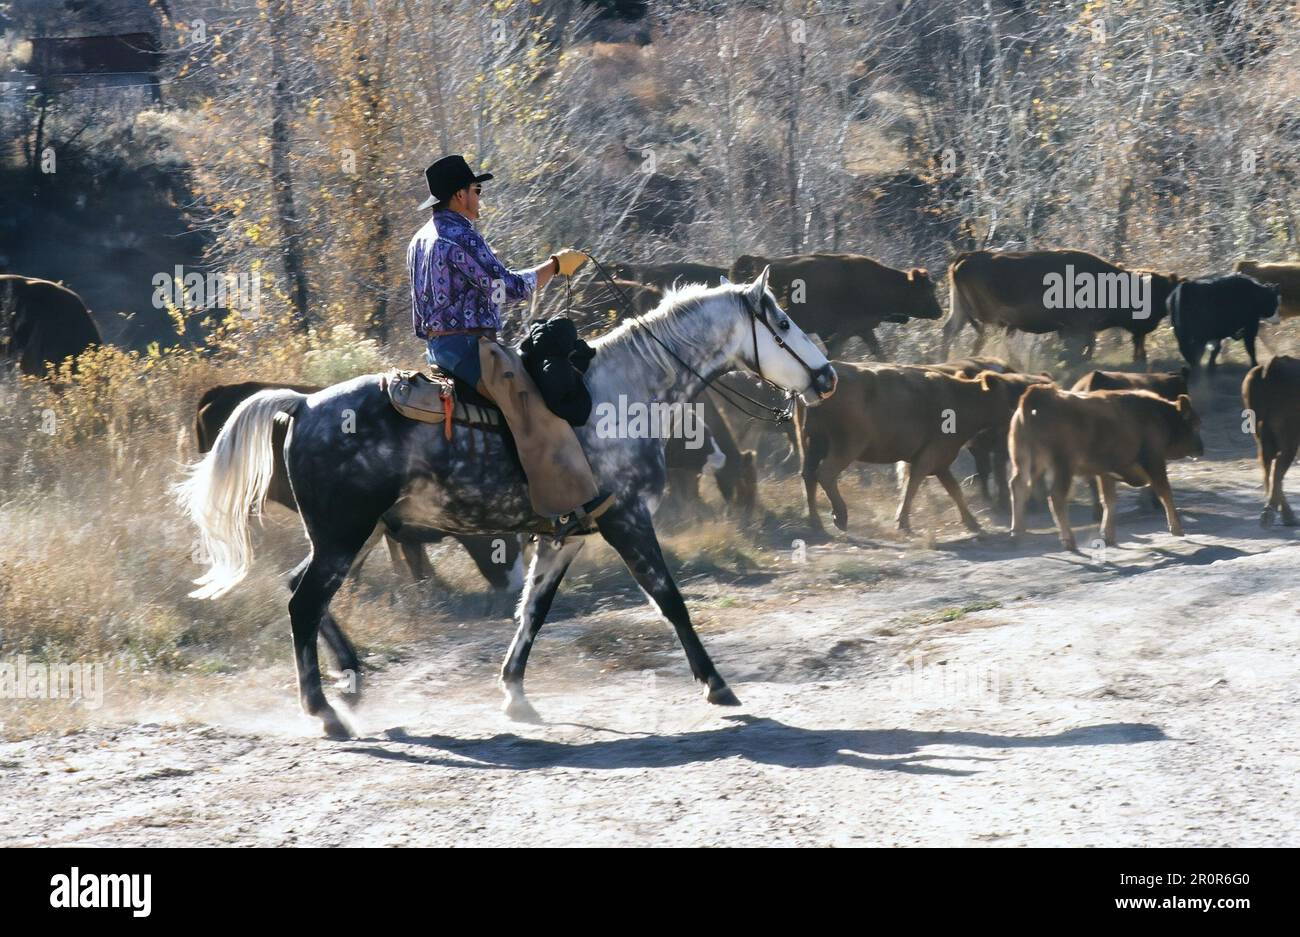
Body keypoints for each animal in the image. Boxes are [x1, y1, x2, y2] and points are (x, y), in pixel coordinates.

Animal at [729, 252, 942, 360]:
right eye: (926, 291)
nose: (939, 312)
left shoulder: (859, 330)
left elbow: (878, 352)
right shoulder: (846, 329)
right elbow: (834, 352)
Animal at [798, 362, 1043, 536]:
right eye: (1003, 396)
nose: (1014, 414)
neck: (960, 397)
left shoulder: (939, 460)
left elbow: (953, 489)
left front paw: (972, 522)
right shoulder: (928, 457)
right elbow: (913, 485)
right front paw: (903, 522)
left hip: (813, 443)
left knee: (808, 475)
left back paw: (815, 522)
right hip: (846, 445)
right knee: (825, 474)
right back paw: (840, 516)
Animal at [942, 249, 1181, 362]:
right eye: (1153, 294)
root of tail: (965, 258)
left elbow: (1088, 345)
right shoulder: (1076, 327)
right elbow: (1084, 346)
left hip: (960, 311)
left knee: (950, 331)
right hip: (988, 318)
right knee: (984, 337)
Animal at [1008, 384, 1203, 550]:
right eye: (1194, 424)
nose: (1201, 448)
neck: (1157, 414)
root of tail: (1038, 394)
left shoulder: (1105, 472)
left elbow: (1109, 500)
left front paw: (1107, 536)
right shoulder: (1154, 461)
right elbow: (1165, 492)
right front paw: (1177, 529)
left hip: (1028, 464)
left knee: (1019, 487)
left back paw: (1017, 534)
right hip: (1062, 467)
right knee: (1056, 497)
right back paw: (1069, 541)